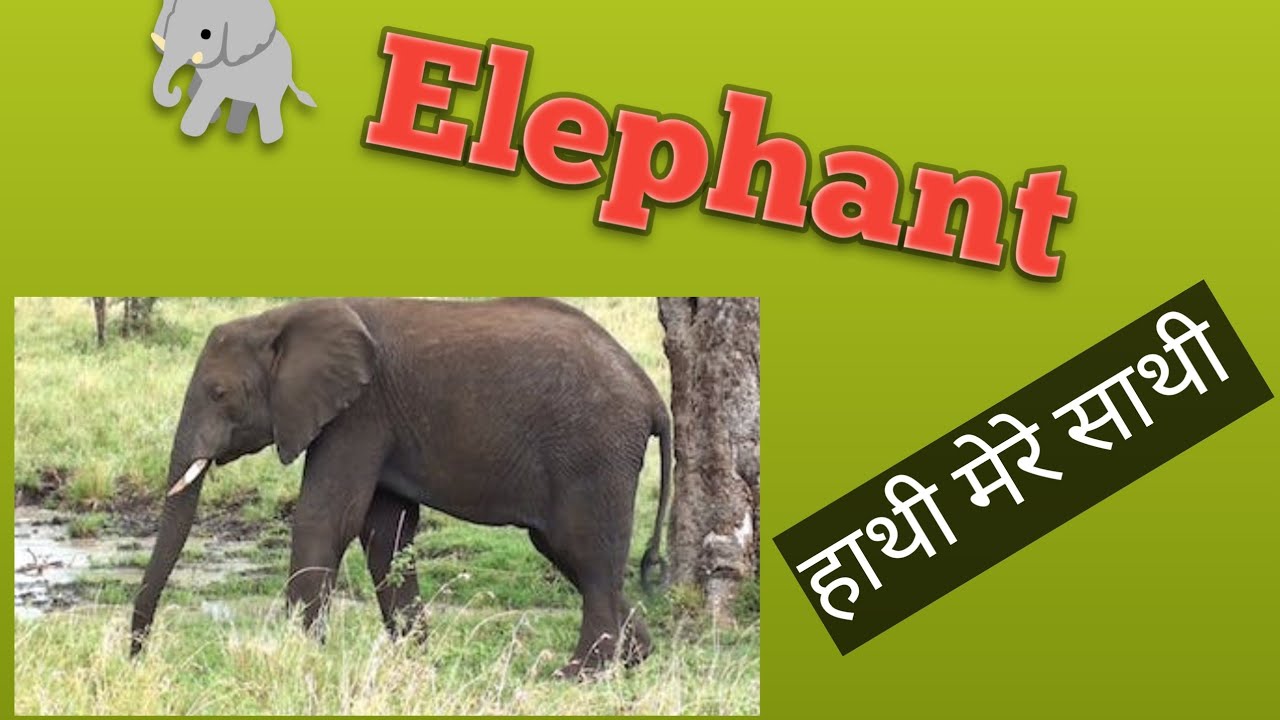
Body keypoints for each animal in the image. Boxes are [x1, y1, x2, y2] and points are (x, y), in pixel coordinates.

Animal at [129, 298, 673, 678]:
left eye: (219, 393)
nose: (135, 656)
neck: (281, 316)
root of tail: (653, 397)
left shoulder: (359, 412)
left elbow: (327, 519)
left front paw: (298, 657)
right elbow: (385, 535)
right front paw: (417, 661)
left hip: (593, 452)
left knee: (586, 554)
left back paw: (576, 675)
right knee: (569, 552)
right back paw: (635, 657)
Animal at [151, 0, 315, 143]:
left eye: (206, 34)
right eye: (170, 18)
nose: (175, 90)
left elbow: (208, 93)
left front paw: (190, 131)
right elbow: (195, 88)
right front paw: (214, 117)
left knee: (268, 106)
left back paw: (270, 140)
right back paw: (234, 132)